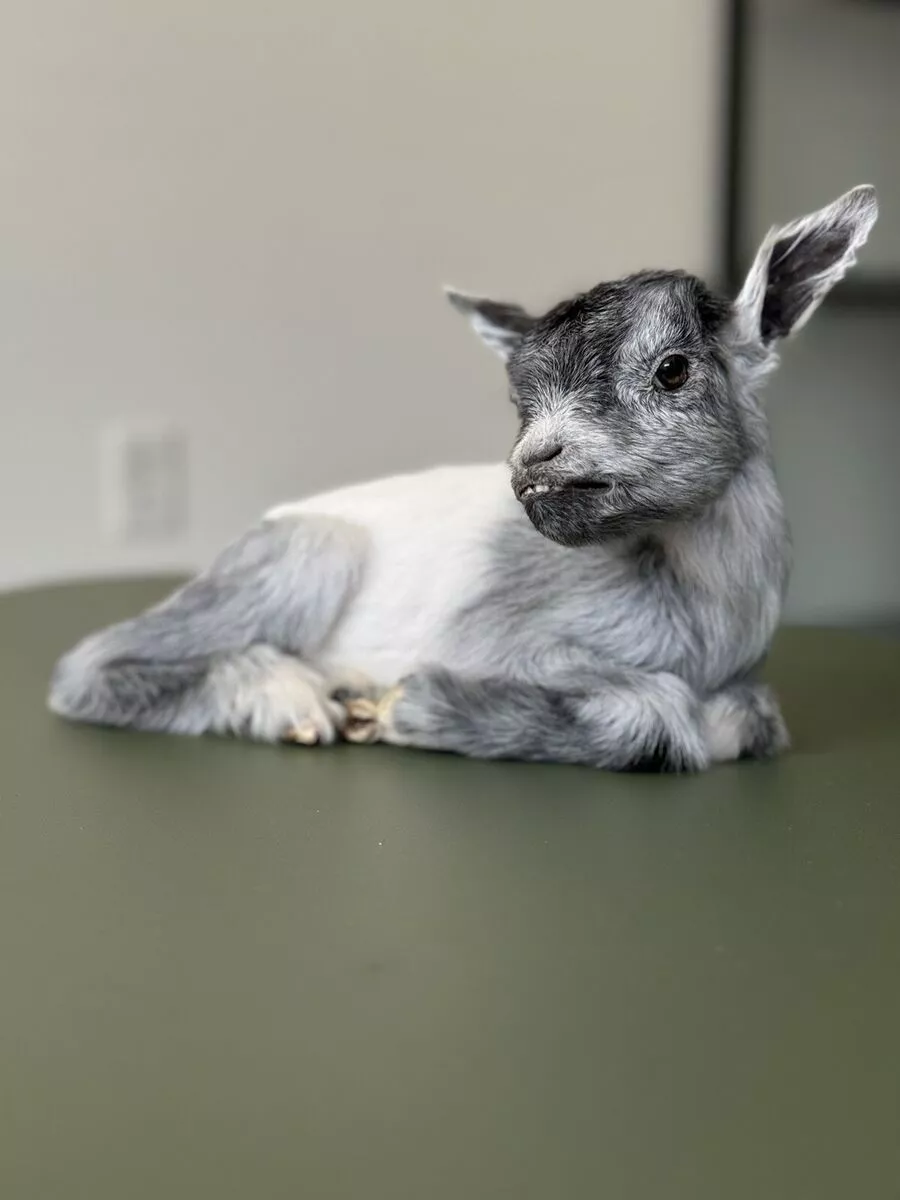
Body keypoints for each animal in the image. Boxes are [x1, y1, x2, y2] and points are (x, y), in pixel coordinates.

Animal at [48, 185, 878, 771]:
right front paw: (400, 708)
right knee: (88, 667)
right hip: (301, 558)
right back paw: (294, 701)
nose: (534, 460)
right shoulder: (511, 645)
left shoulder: (743, 689)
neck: (703, 618)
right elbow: (658, 712)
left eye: (673, 369)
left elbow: (750, 721)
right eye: (518, 399)